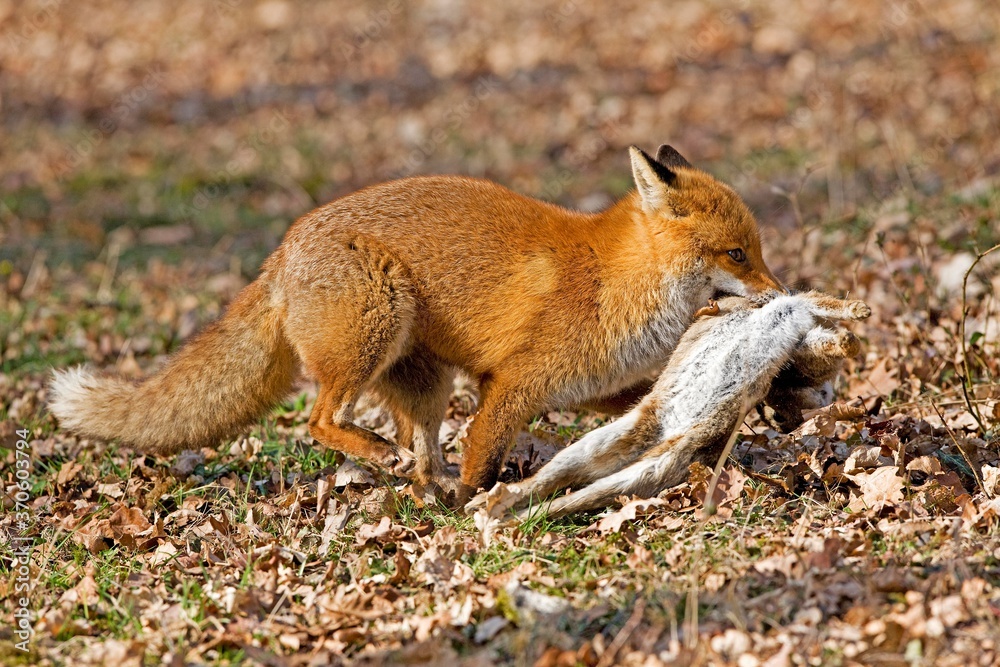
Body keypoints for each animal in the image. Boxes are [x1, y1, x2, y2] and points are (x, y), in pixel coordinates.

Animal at [48, 144, 783, 502]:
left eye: (759, 251)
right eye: (738, 255)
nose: (785, 293)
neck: (615, 280)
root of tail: (280, 252)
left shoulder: (594, 388)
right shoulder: (511, 382)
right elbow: (481, 460)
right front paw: (476, 515)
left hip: (423, 383)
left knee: (421, 456)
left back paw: (417, 489)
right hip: (374, 332)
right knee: (322, 421)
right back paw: (386, 462)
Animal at [465, 291, 870, 519]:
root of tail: (668, 433)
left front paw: (852, 327)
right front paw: (857, 316)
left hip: (646, 467)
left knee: (570, 494)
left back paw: (492, 516)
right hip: (608, 449)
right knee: (549, 485)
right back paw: (486, 510)